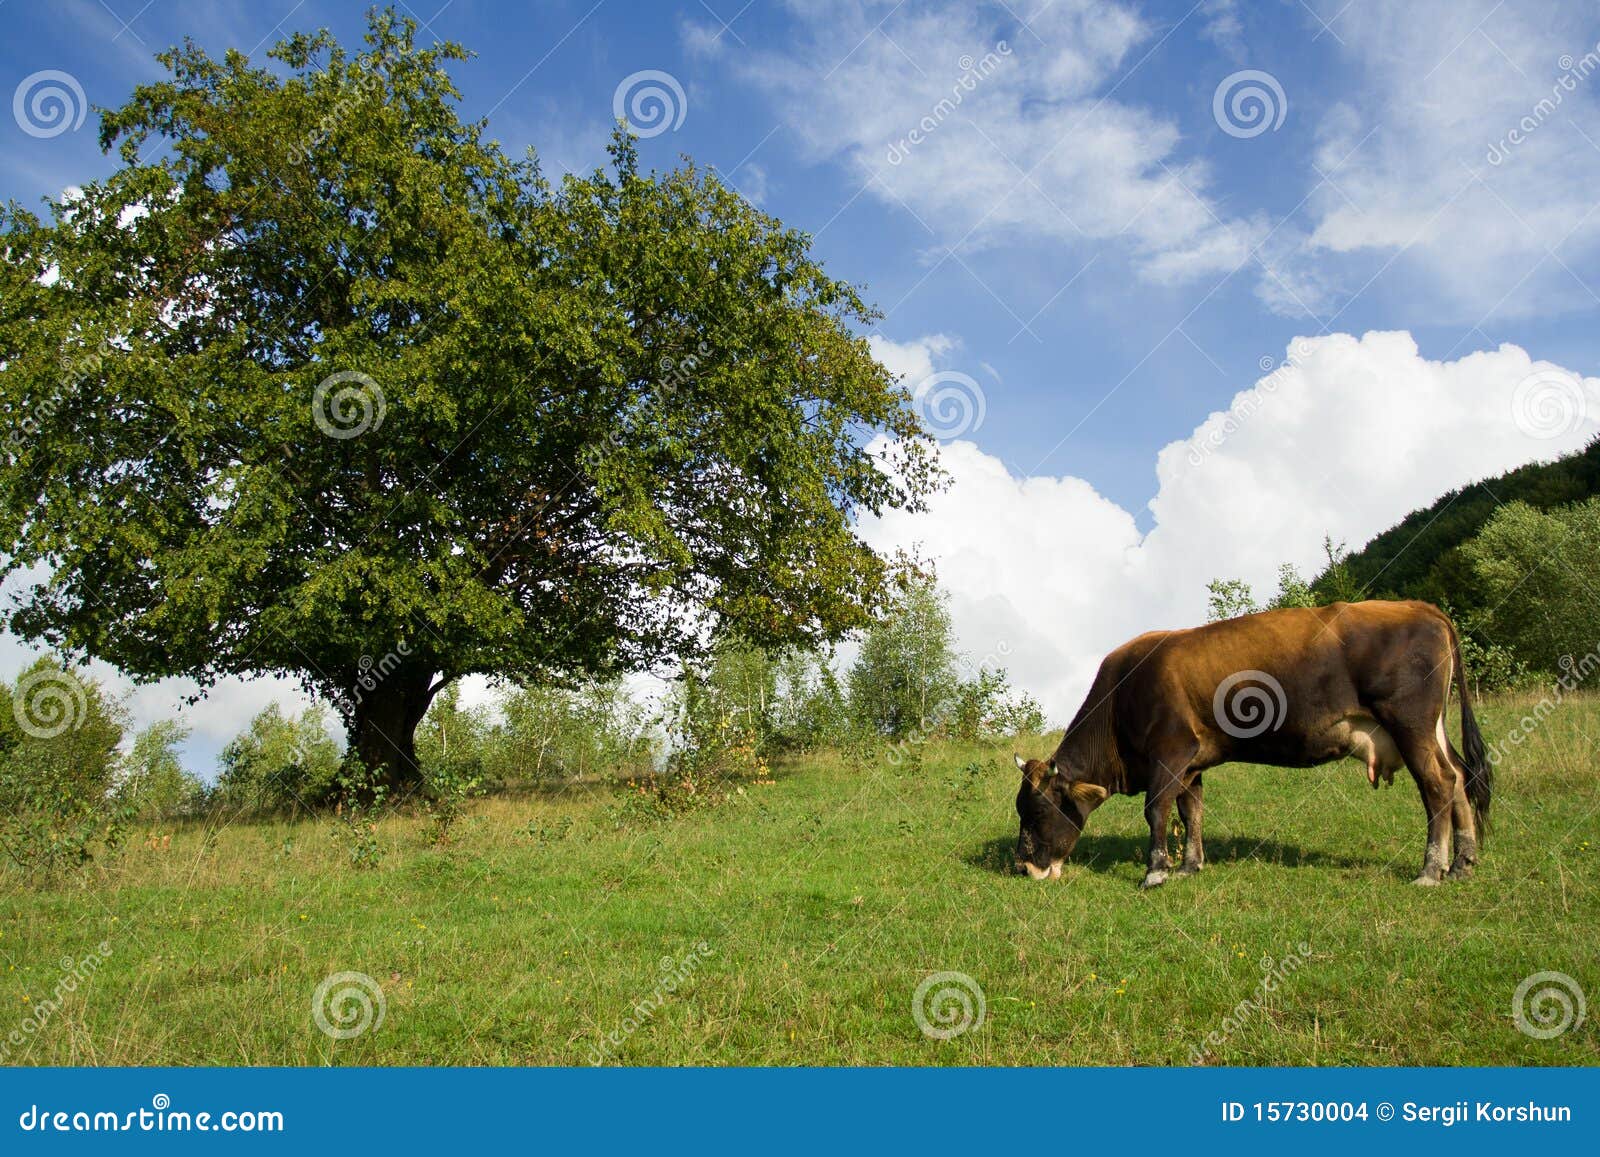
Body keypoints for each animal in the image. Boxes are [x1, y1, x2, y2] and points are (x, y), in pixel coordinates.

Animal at [1013, 600, 1491, 889]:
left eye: (1036, 812)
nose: (1022, 865)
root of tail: (1419, 606)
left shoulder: (1169, 752)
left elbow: (1157, 810)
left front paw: (1156, 871)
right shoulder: (1191, 764)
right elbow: (1191, 812)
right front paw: (1189, 865)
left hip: (1410, 724)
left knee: (1437, 783)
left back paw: (1431, 869)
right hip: (1432, 729)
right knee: (1459, 776)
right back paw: (1462, 863)